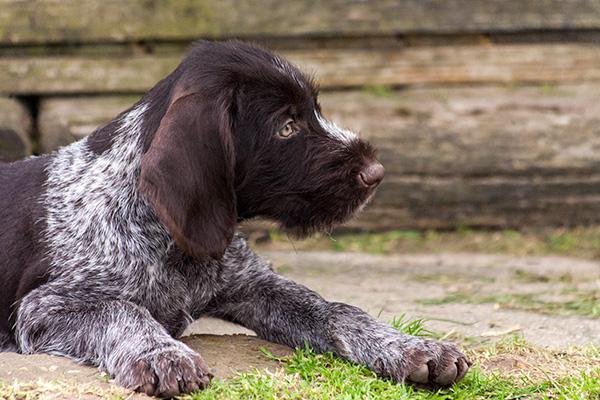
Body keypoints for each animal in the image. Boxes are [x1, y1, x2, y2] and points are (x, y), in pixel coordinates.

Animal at [0, 40, 468, 396]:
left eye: (313, 111)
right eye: (286, 126)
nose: (376, 173)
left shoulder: (253, 286)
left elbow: (336, 309)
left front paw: (410, 347)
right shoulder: (43, 309)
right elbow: (123, 311)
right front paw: (161, 354)